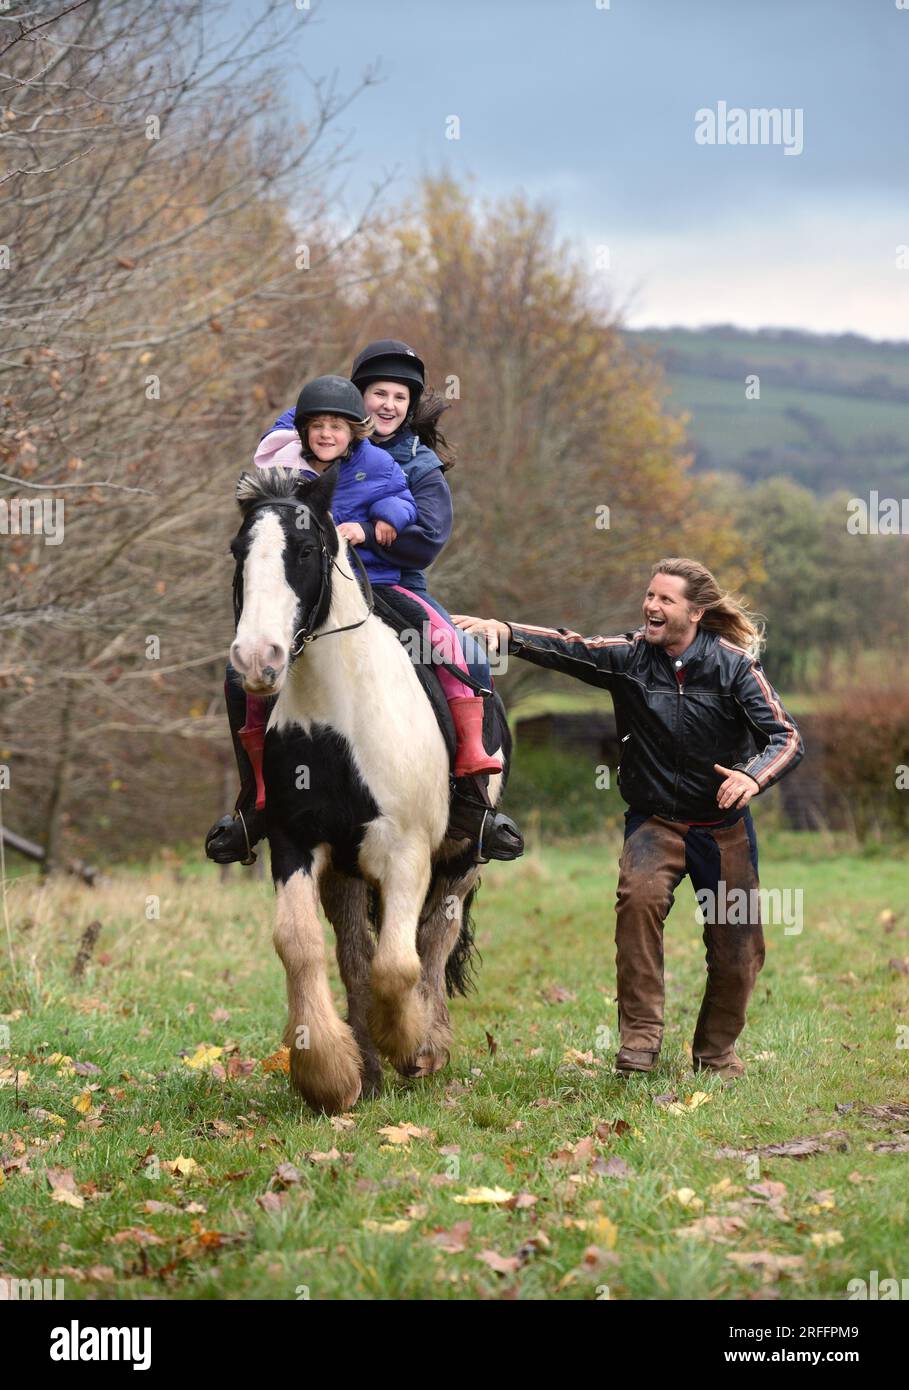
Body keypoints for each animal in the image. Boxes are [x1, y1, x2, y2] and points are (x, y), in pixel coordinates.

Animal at [226, 465, 513, 1114]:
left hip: (462, 860)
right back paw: (371, 1066)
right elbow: (300, 943)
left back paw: (426, 1045)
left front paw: (406, 1039)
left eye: (305, 550)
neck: (336, 713)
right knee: (354, 953)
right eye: (238, 552)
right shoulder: (296, 842)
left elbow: (398, 965)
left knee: (434, 940)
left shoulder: (405, 849)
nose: (256, 659)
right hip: (346, 871)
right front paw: (330, 1073)